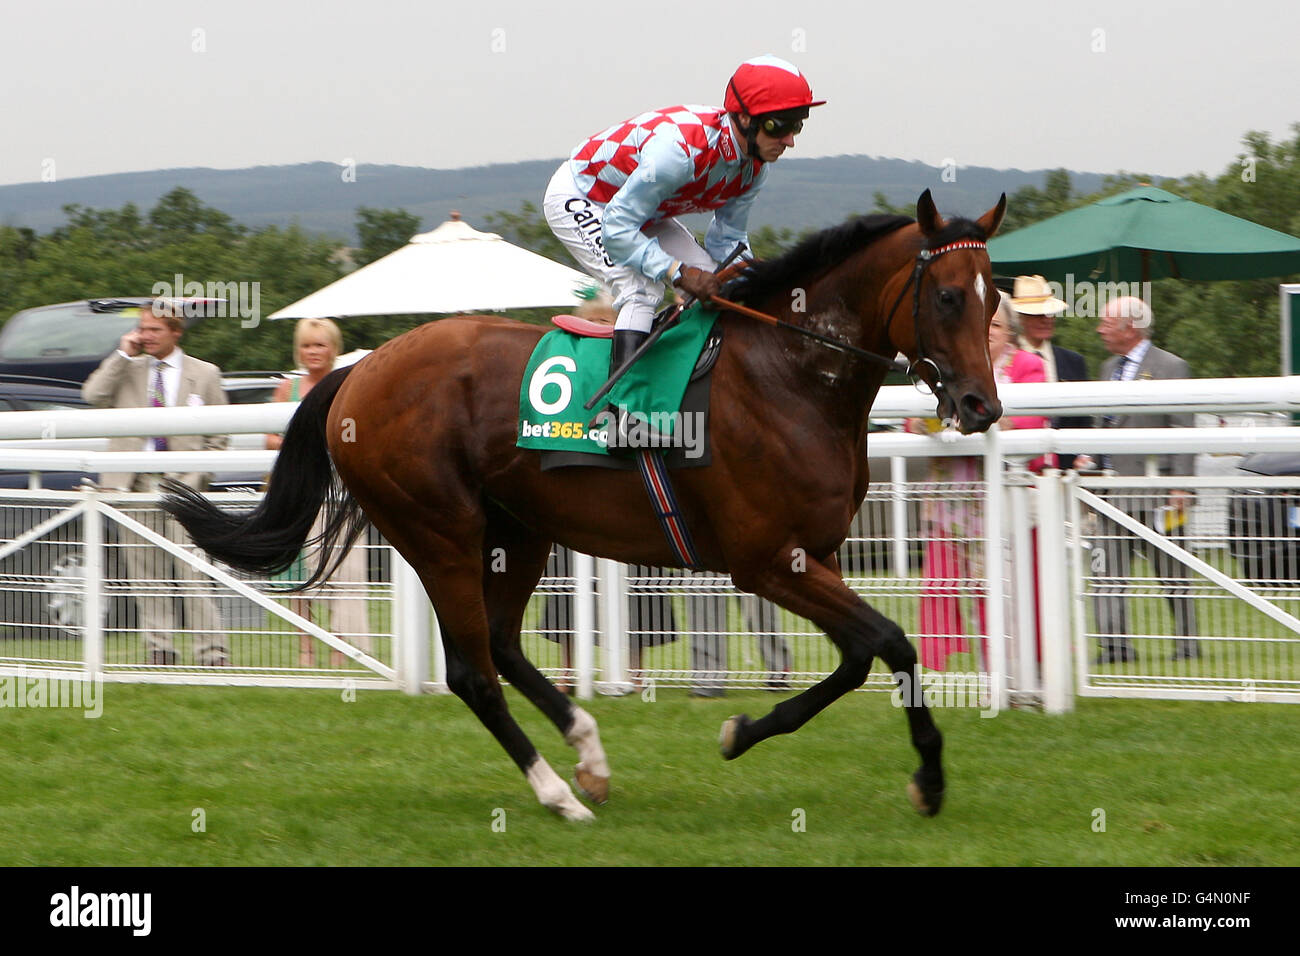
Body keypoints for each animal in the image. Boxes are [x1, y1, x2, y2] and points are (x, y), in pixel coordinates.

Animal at [164, 189, 1007, 822]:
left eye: (994, 296)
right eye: (946, 296)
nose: (981, 405)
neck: (788, 373)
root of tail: (357, 371)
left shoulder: (816, 554)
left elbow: (862, 656)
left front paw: (746, 730)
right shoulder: (767, 561)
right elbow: (892, 642)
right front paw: (927, 780)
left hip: (518, 530)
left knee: (502, 644)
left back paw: (590, 755)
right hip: (438, 530)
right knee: (473, 670)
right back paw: (559, 794)